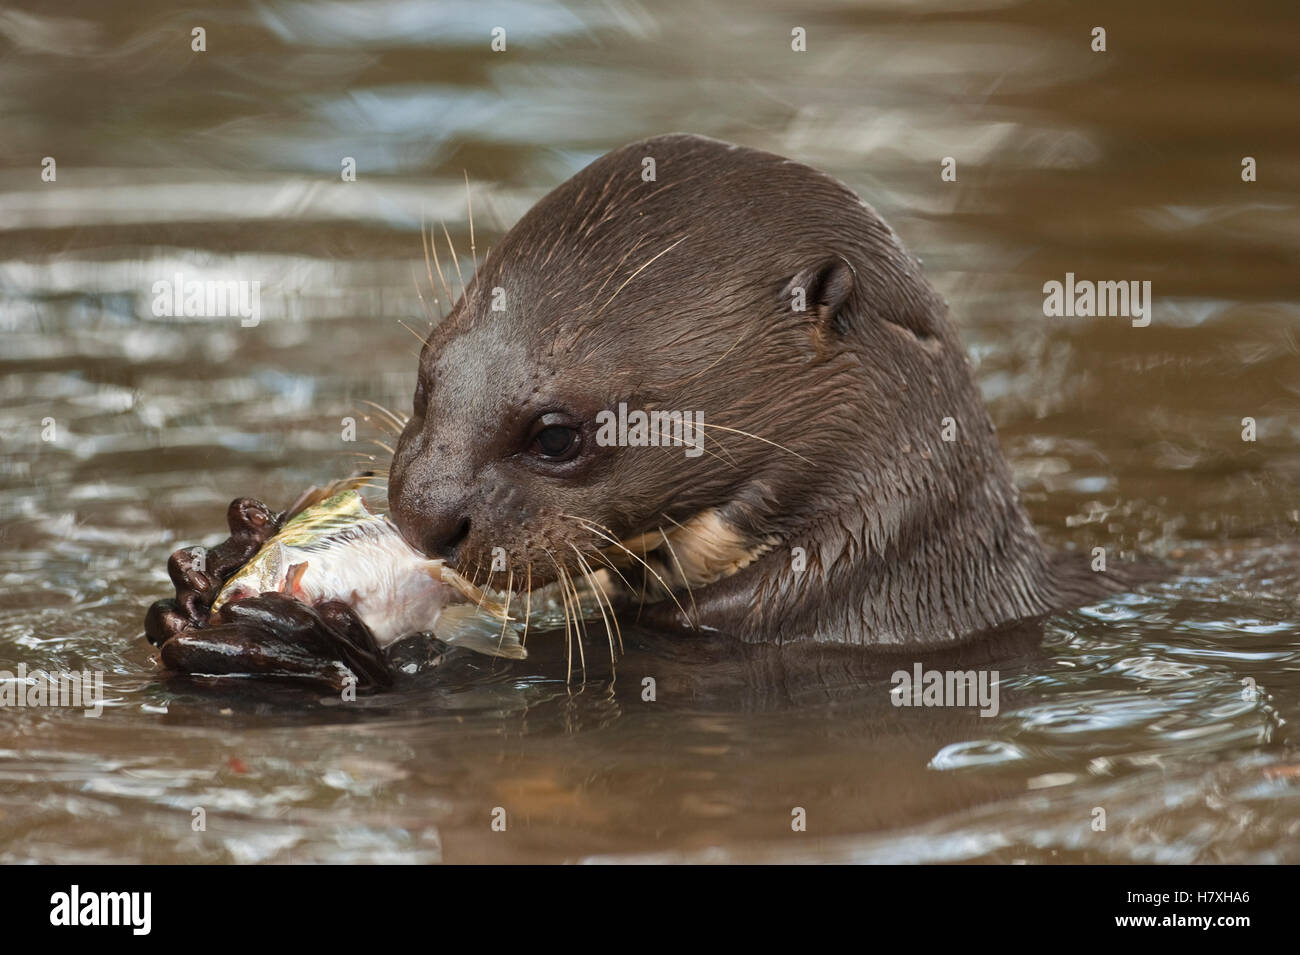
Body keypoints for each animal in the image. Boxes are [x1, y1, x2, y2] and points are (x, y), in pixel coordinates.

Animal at [147, 133, 1135, 684]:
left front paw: (300, 638)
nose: (422, 518)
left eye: (556, 434)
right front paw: (218, 565)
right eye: (428, 374)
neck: (892, 573)